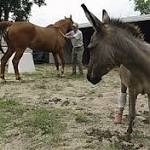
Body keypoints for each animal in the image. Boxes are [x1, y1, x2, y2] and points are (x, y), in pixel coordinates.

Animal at [81, 4, 150, 139]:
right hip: (123, 84)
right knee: (123, 100)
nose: (88, 77)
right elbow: (131, 112)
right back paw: (120, 118)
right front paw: (128, 134)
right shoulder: (132, 90)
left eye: (90, 48)